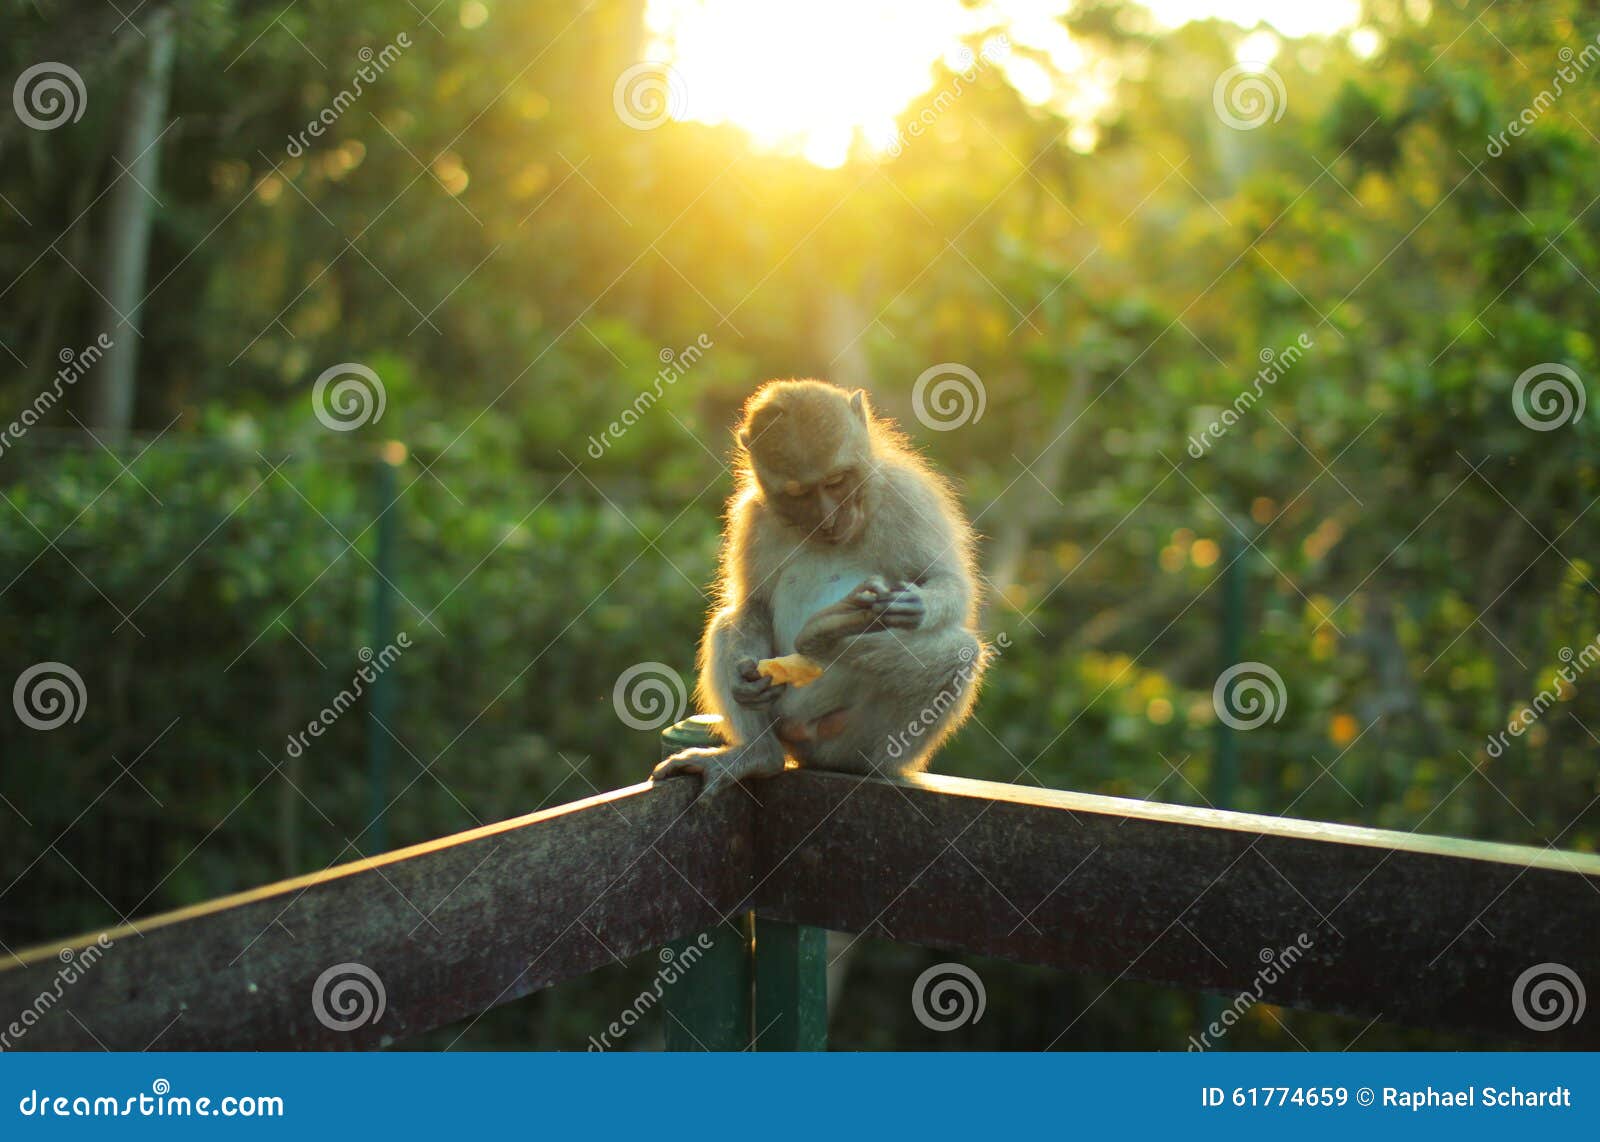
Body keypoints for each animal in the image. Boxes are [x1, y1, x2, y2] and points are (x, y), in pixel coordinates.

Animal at [650, 379, 987, 798]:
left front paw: (917, 604)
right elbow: (753, 604)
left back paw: (826, 644)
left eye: (836, 480)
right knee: (730, 623)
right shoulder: (753, 515)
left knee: (957, 654)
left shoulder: (907, 497)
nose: (830, 519)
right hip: (788, 726)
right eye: (799, 494)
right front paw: (747, 684)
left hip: (848, 739)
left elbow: (950, 584)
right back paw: (759, 753)